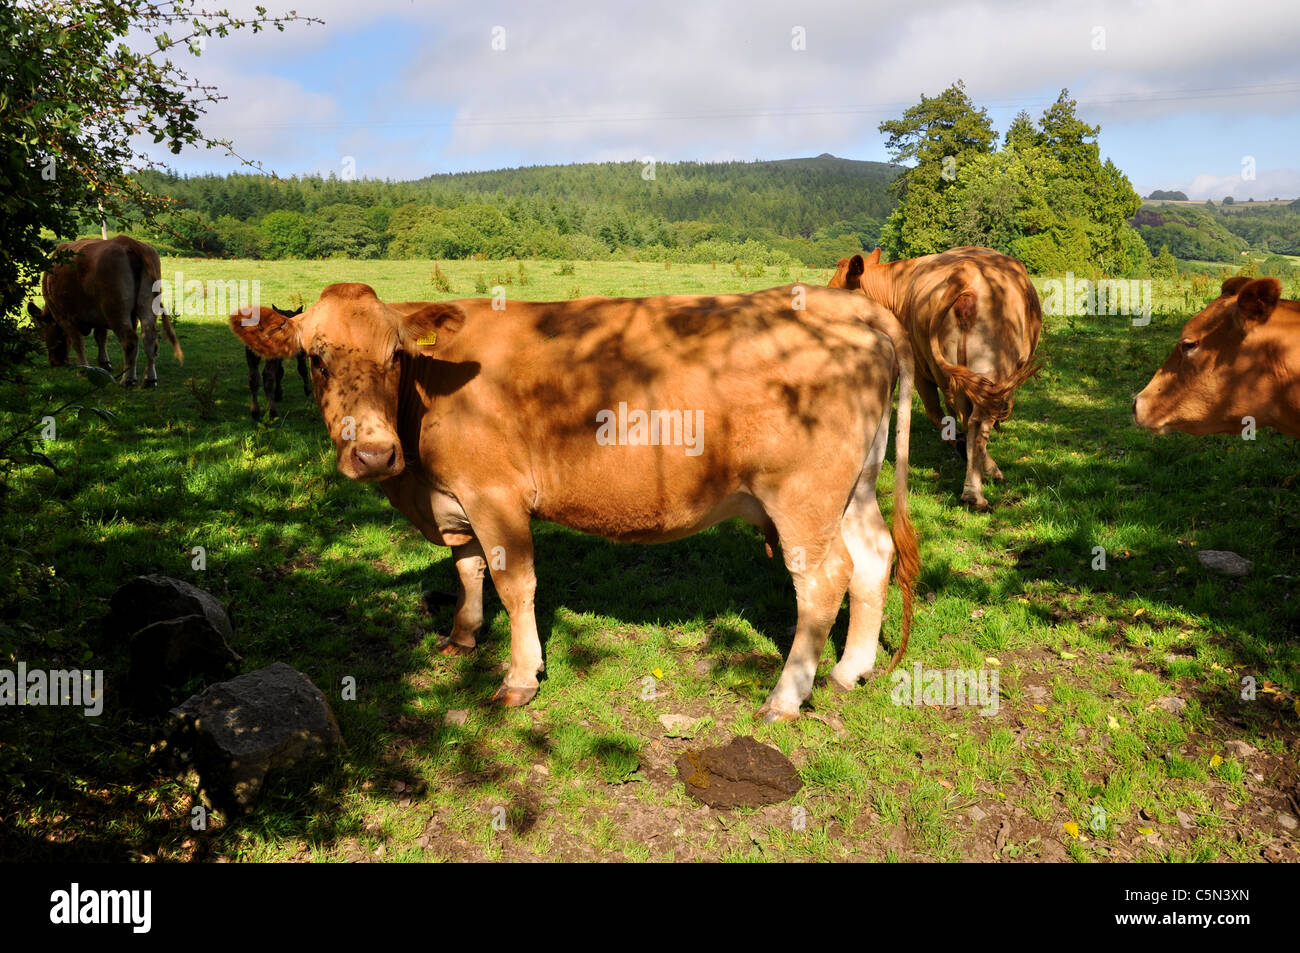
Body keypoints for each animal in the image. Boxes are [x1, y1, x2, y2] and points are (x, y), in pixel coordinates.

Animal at [26, 236, 182, 386]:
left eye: (43, 335)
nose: (54, 362)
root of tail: (129, 242)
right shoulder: (101, 314)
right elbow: (101, 337)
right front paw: (104, 363)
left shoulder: (63, 316)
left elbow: (78, 341)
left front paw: (83, 369)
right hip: (146, 305)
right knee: (149, 338)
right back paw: (149, 379)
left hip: (115, 309)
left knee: (130, 340)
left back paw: (128, 379)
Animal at [232, 283, 920, 721]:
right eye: (315, 359)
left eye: (396, 356)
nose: (375, 454)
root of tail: (852, 306)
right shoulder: (456, 500)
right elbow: (468, 569)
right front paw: (462, 636)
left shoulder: (495, 495)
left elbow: (515, 584)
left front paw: (519, 678)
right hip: (855, 488)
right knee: (873, 559)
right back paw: (850, 670)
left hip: (802, 498)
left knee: (824, 580)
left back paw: (785, 697)